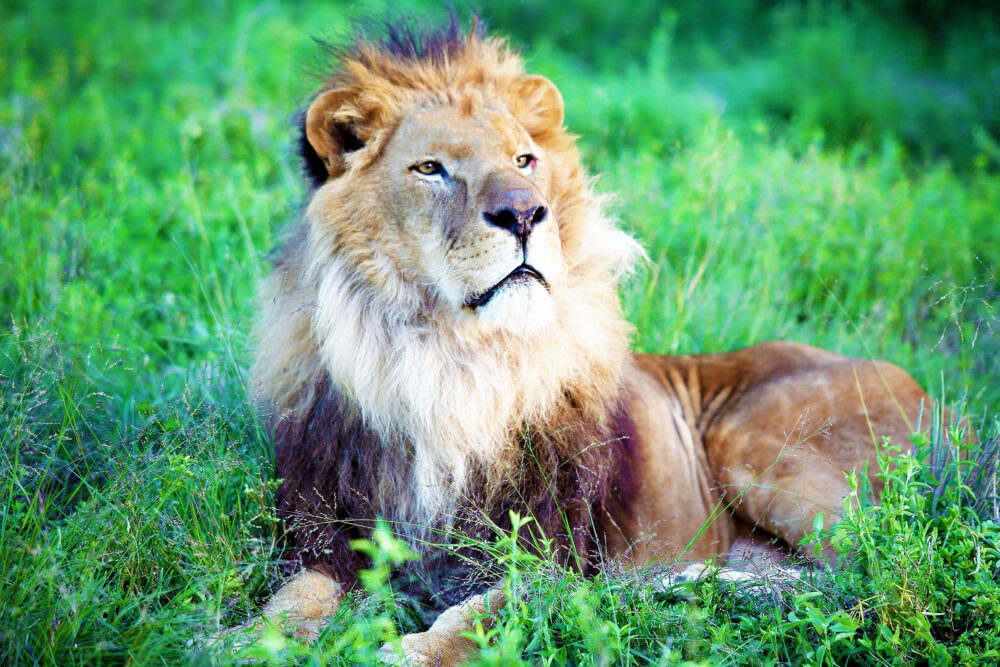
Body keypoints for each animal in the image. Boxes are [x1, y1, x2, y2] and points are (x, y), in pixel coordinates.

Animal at [248, 18, 929, 665]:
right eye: (431, 168)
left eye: (524, 161)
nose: (524, 215)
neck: (453, 364)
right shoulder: (338, 532)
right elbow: (295, 595)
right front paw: (250, 641)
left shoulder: (546, 551)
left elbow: (480, 615)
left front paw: (410, 652)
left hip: (757, 444)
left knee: (874, 576)